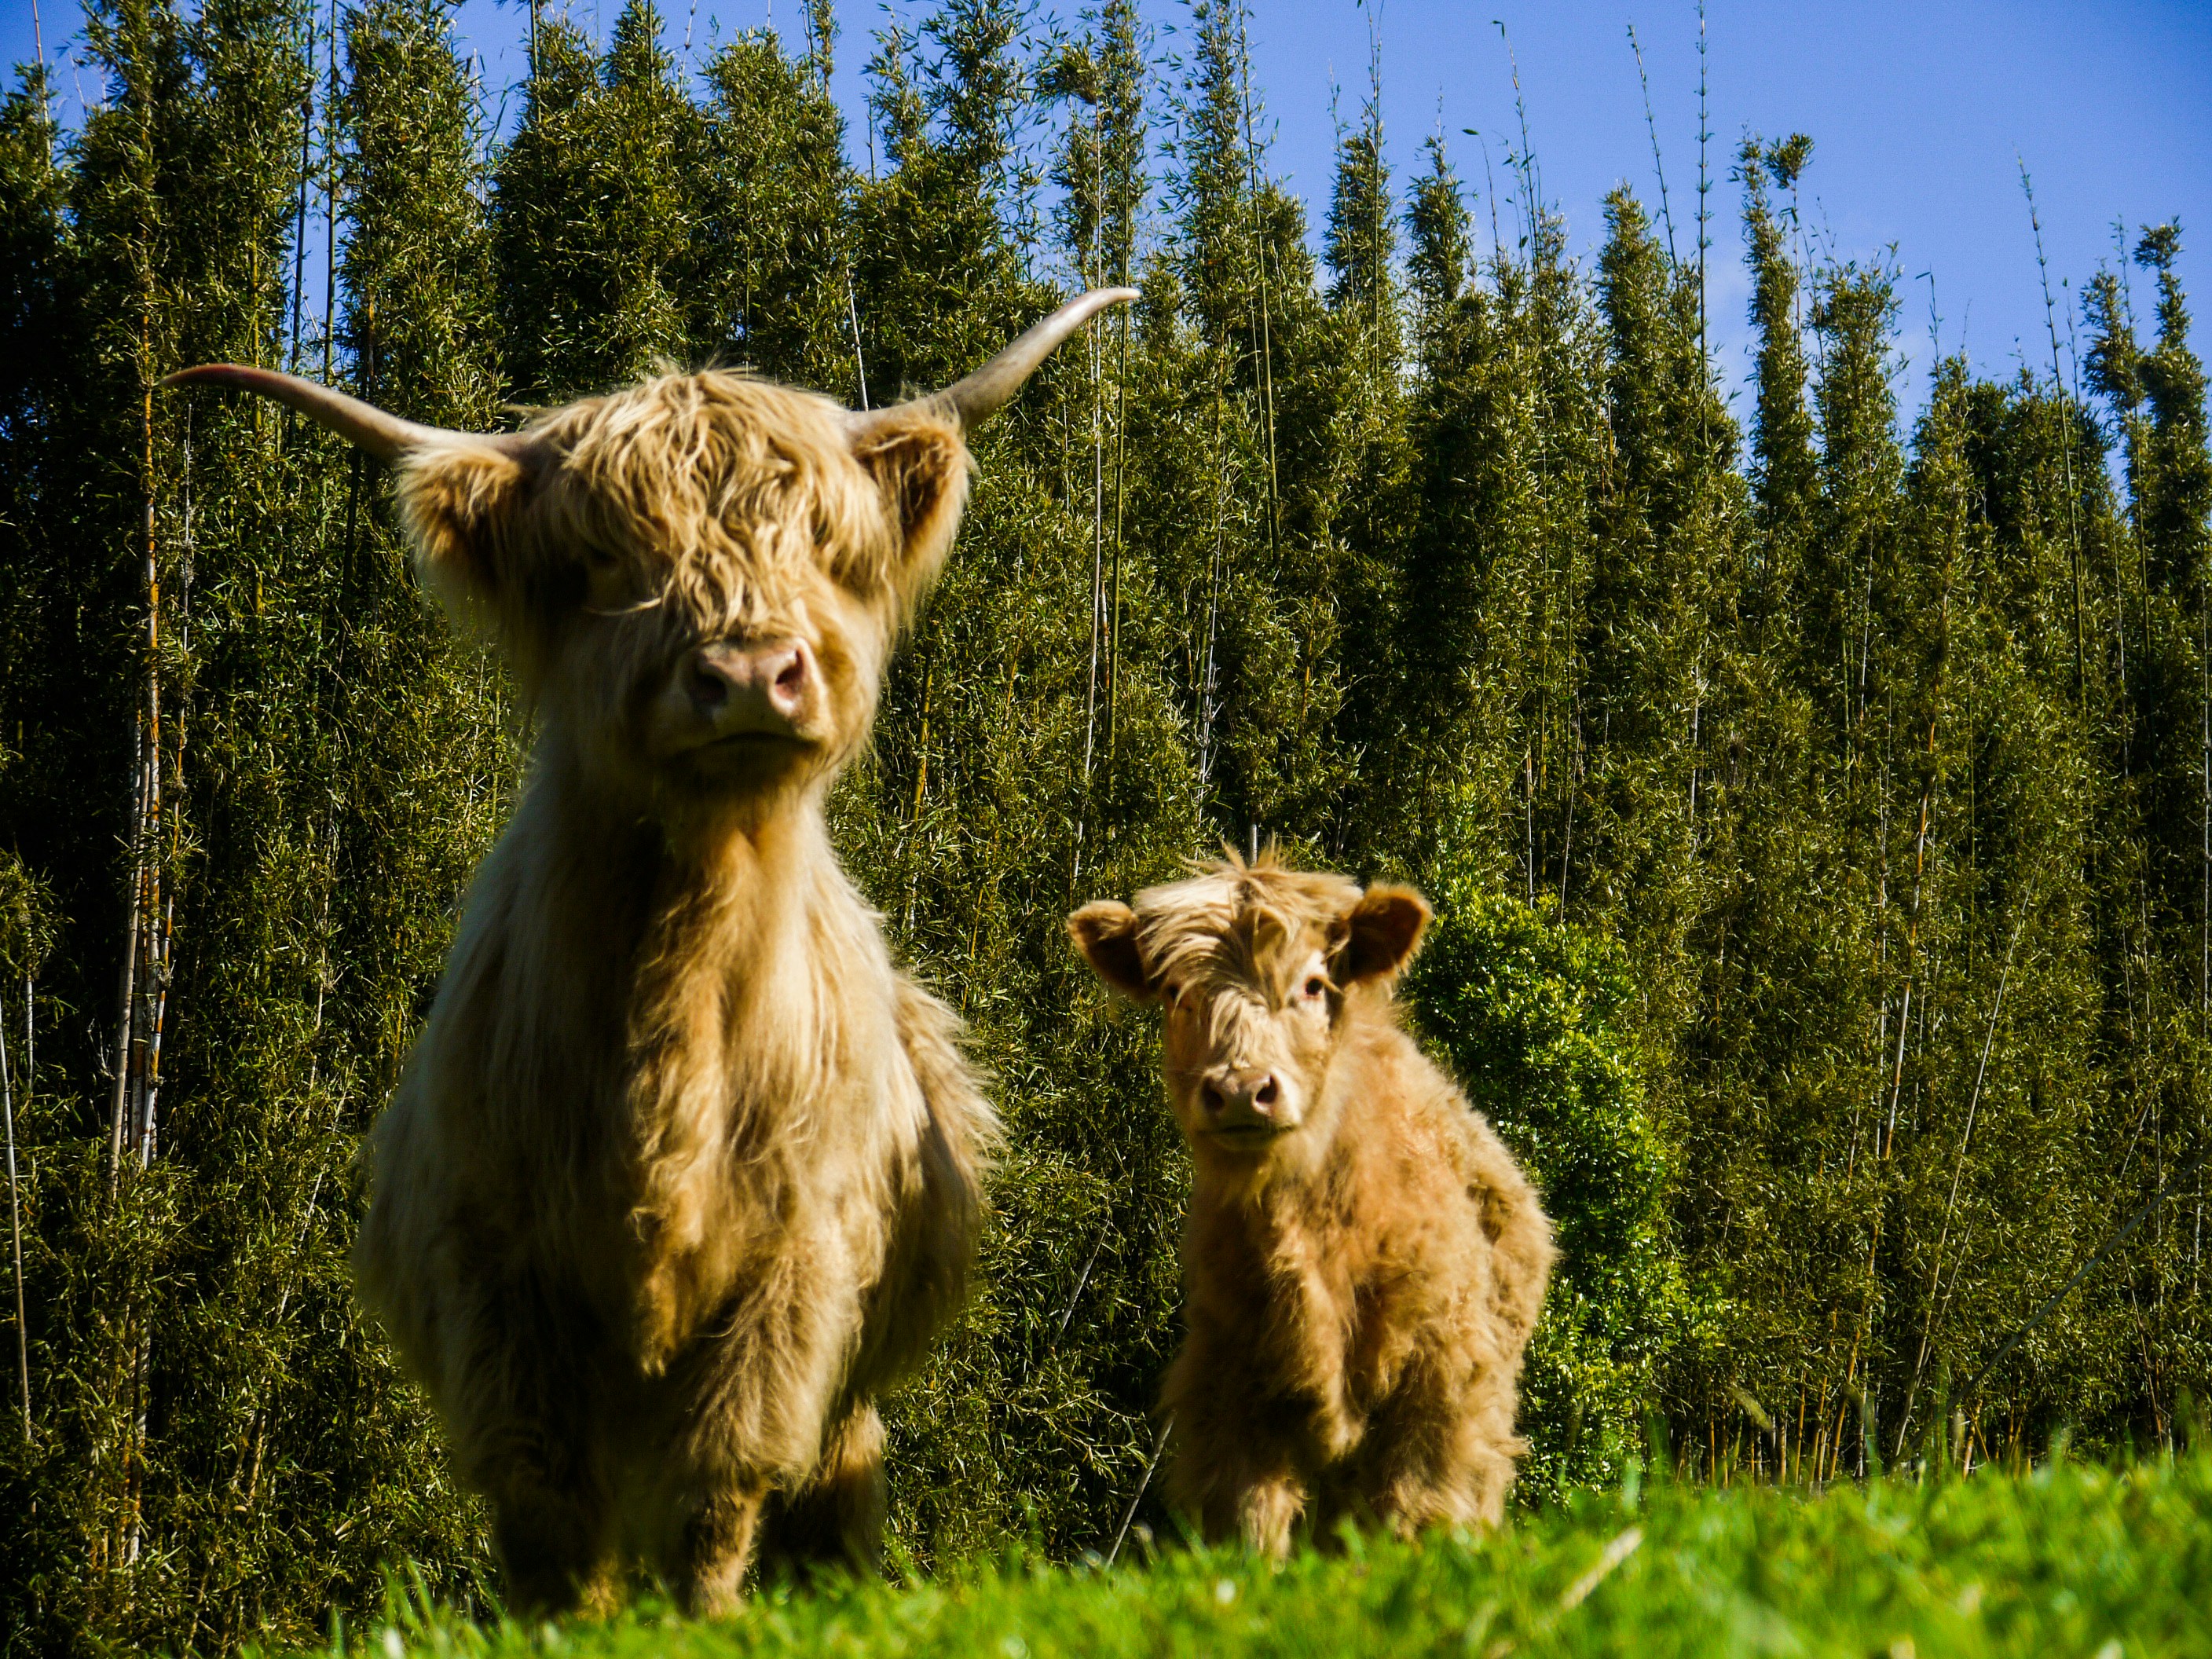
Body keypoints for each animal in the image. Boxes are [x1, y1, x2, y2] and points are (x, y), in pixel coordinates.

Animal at [167, 287, 1135, 1614]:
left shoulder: (793, 1274)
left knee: (834, 1481)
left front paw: (714, 1619)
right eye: (600, 563)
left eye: (819, 541)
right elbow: (546, 1512)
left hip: (853, 1370)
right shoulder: (496, 1284)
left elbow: (721, 1487)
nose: (750, 674)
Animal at [1067, 849, 1553, 1556]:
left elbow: (1415, 1515)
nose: (1242, 1090)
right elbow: (1247, 1526)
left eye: (1314, 985)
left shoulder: (1440, 1390)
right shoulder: (1231, 1389)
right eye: (1176, 993)